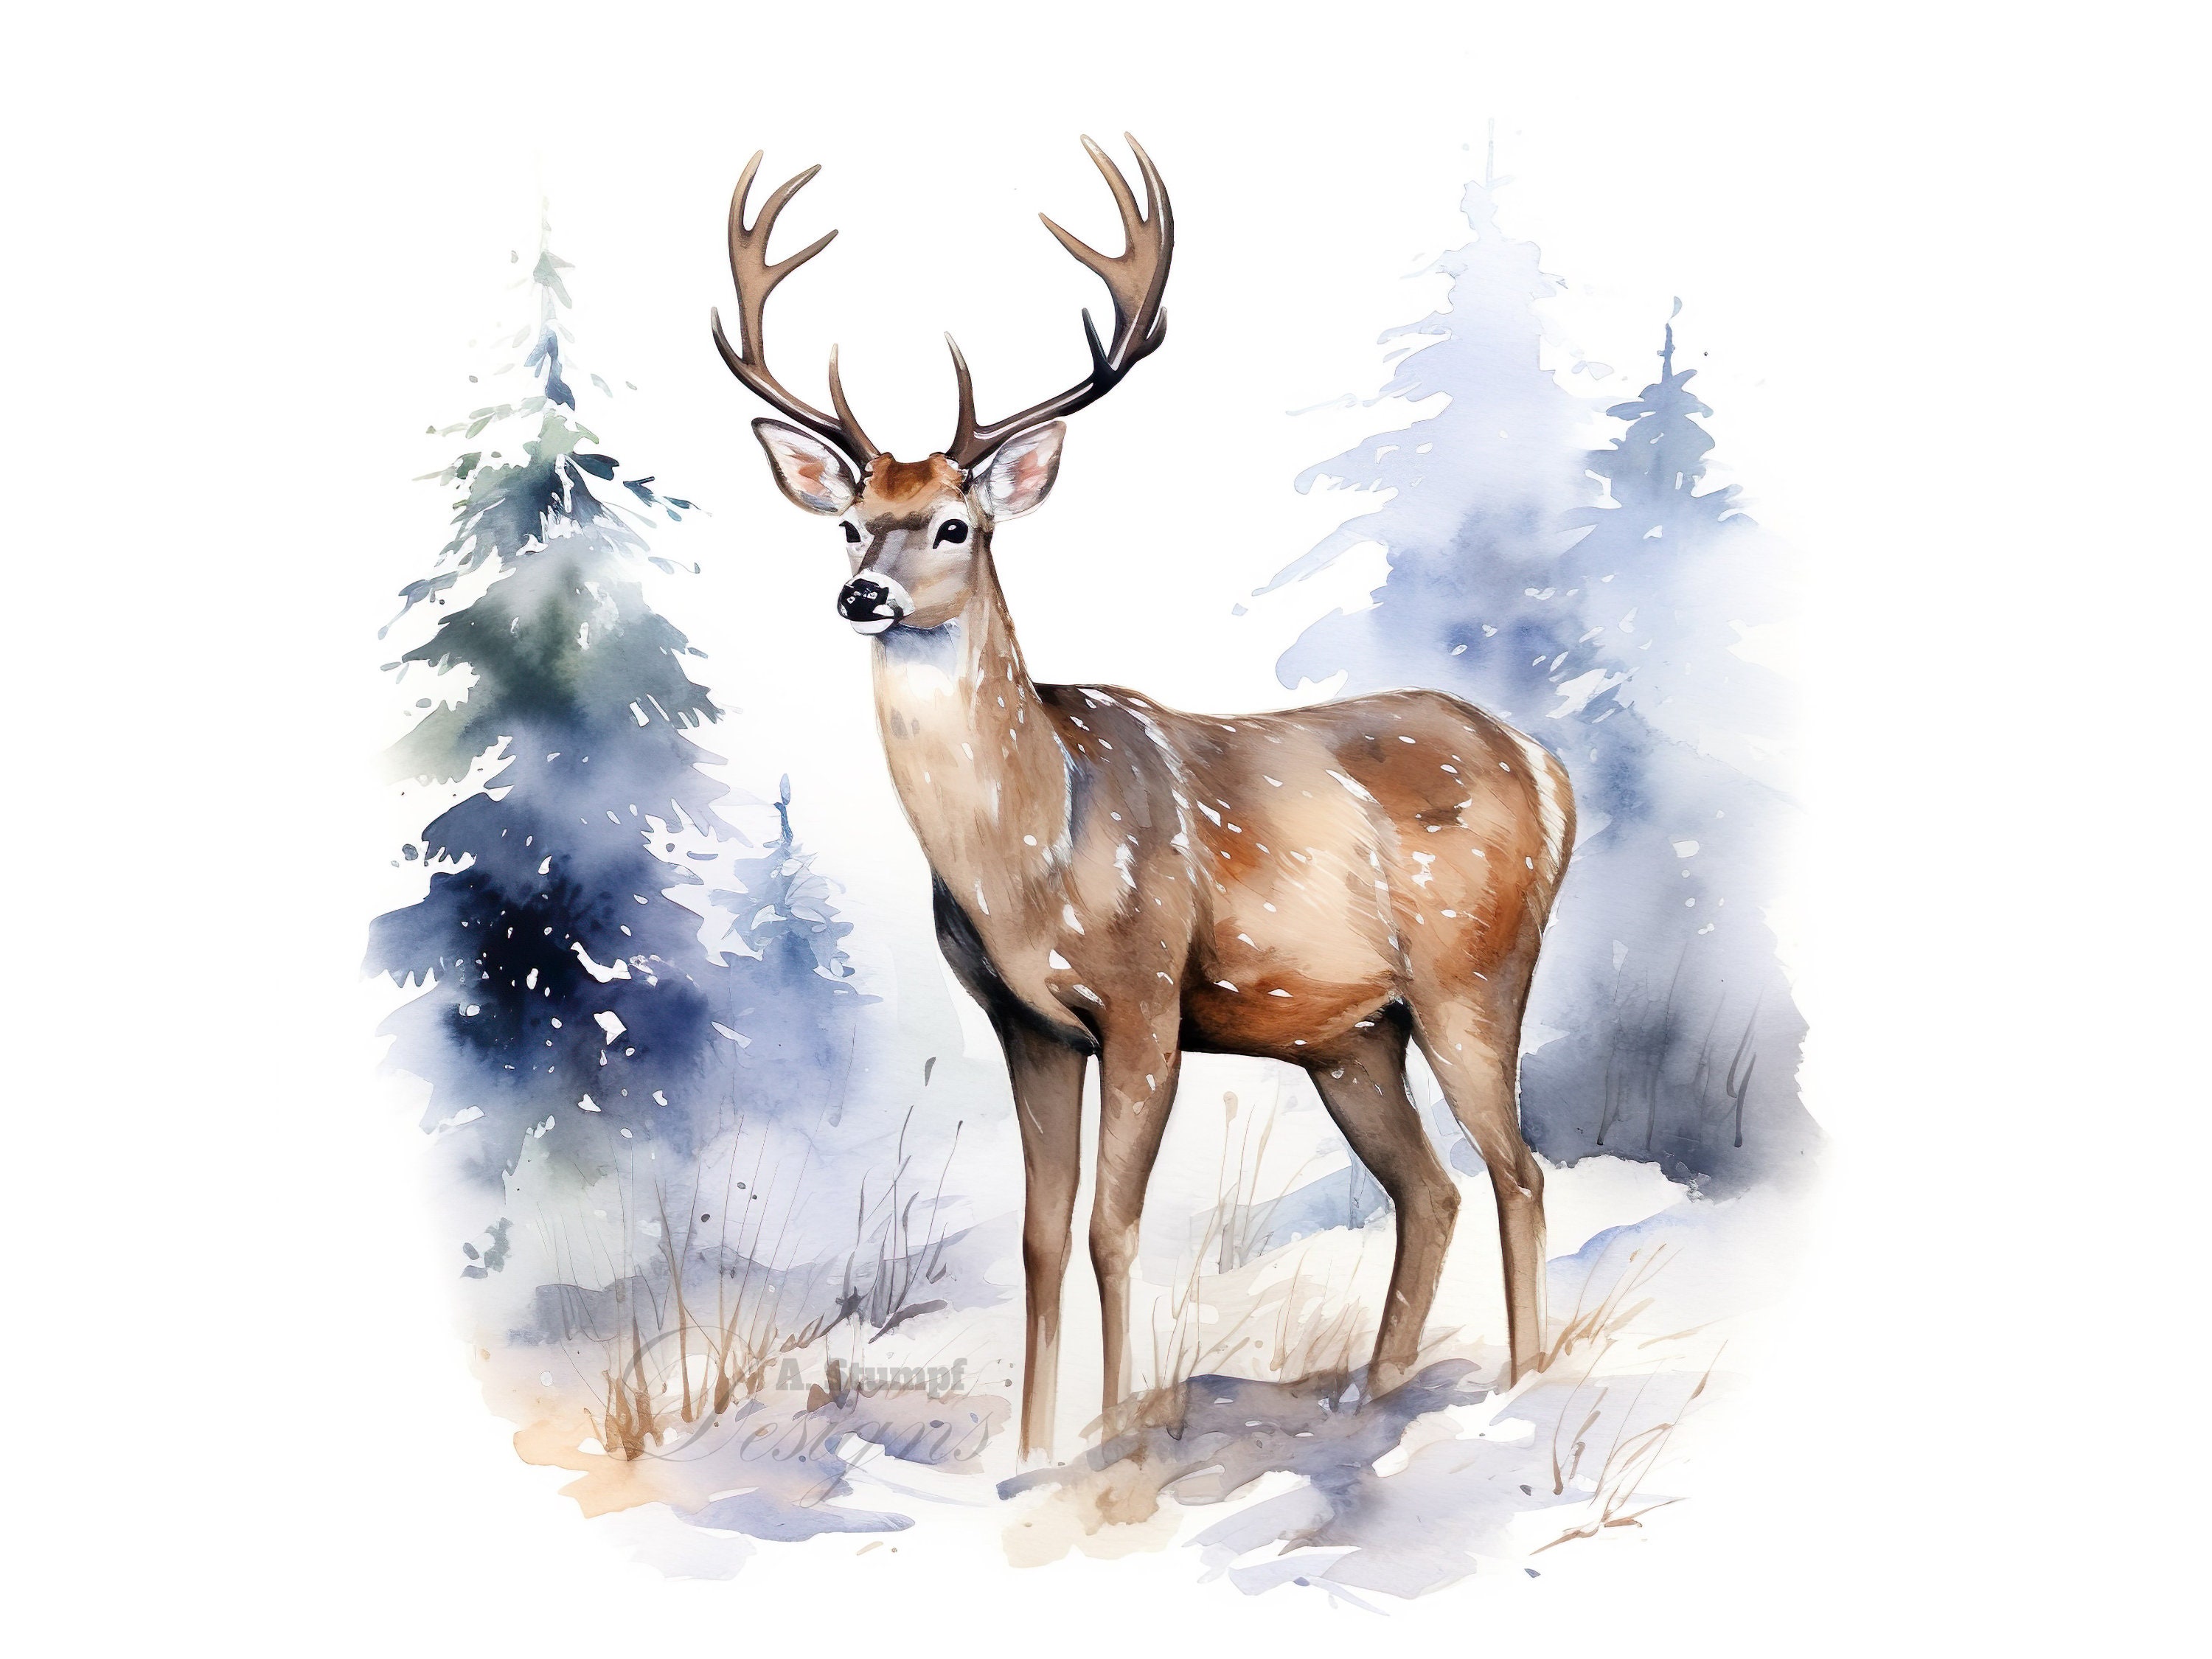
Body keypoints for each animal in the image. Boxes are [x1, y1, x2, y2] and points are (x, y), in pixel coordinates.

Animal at [715, 136, 1574, 1459]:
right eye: (851, 525)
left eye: (955, 524)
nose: (863, 597)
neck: (1028, 859)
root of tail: (1546, 764)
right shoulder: (1025, 1022)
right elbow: (1038, 1237)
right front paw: (1027, 1446)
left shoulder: (1145, 992)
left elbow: (1112, 1228)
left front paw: (1112, 1431)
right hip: (1350, 1035)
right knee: (1428, 1187)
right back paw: (1372, 1395)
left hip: (1472, 970)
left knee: (1518, 1171)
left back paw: (1518, 1393)